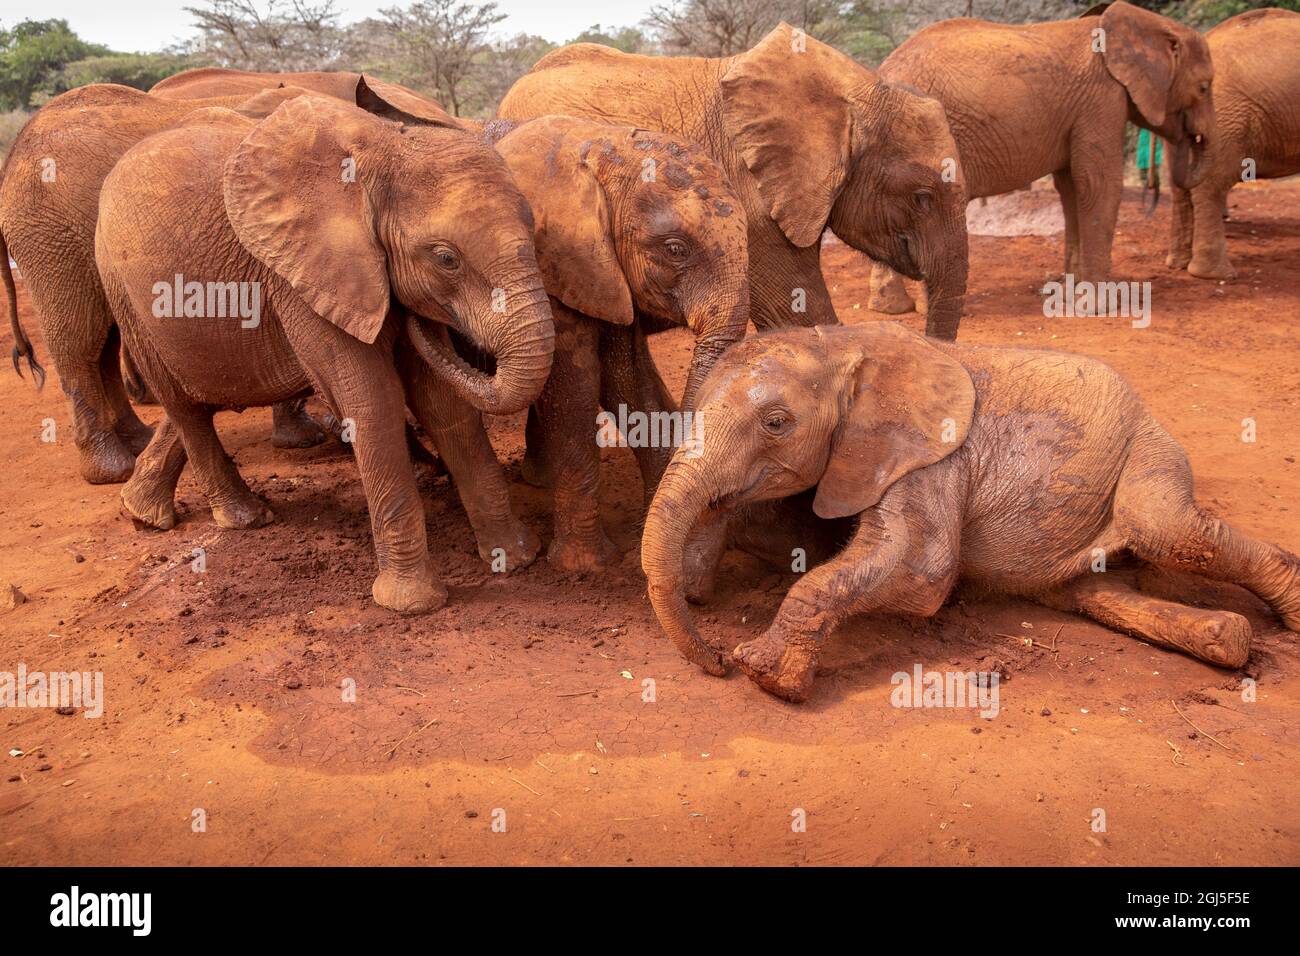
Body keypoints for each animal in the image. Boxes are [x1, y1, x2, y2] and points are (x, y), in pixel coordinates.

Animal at [0, 76, 454, 484]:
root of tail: (16, 148)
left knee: (106, 342)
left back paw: (137, 442)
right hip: (51, 231)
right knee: (79, 339)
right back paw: (112, 469)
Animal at [93, 96, 554, 613]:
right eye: (446, 259)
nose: (430, 326)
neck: (387, 151)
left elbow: (443, 403)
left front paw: (513, 559)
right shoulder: (300, 278)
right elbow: (372, 406)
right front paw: (411, 604)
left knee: (200, 397)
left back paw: (143, 513)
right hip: (124, 293)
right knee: (185, 406)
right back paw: (243, 518)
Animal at [470, 116, 749, 570]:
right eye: (676, 249)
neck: (600, 144)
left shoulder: (607, 272)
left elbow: (629, 378)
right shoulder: (547, 260)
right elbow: (575, 388)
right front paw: (584, 566)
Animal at [641, 322, 1300, 702]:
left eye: (776, 422)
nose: (715, 660)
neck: (848, 344)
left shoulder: (934, 455)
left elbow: (924, 571)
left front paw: (764, 675)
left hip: (1148, 450)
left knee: (1169, 530)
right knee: (1091, 591)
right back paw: (1228, 637)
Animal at [867, 1, 1216, 314]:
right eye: (1203, 87)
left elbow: (1073, 188)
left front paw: (1072, 297)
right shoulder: (1102, 99)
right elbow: (1098, 184)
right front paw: (1101, 307)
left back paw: (891, 309)